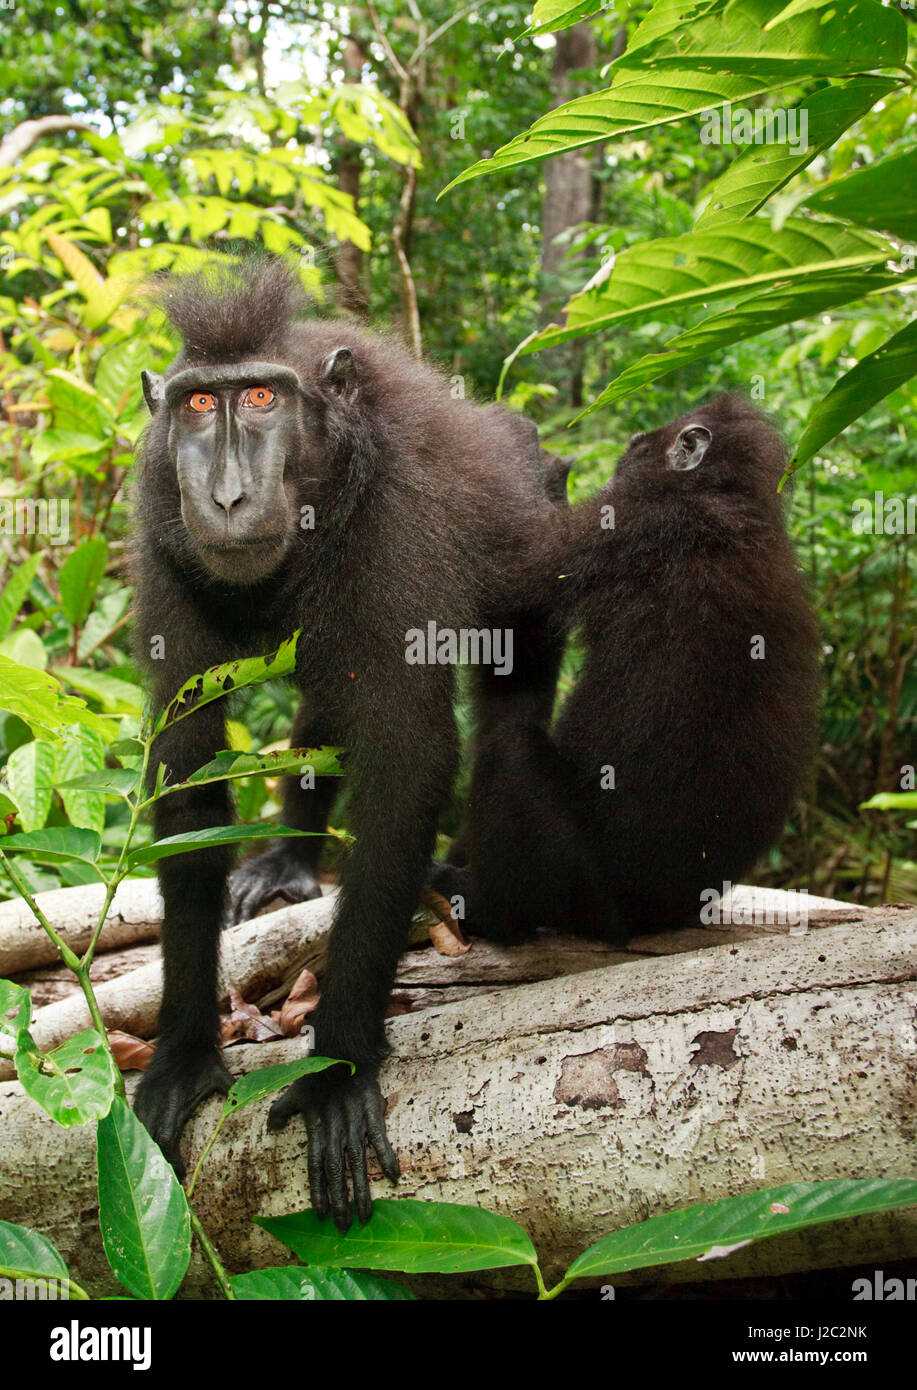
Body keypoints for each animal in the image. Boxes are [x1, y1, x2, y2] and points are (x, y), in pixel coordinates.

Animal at [130, 257, 567, 1230]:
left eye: (260, 397)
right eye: (197, 405)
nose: (224, 495)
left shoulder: (401, 524)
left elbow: (406, 762)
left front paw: (337, 1070)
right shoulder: (160, 538)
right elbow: (188, 774)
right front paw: (184, 1052)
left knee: (508, 713)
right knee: (326, 706)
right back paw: (288, 863)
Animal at [429, 394, 820, 944]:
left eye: (634, 448)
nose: (611, 473)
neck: (724, 496)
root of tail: (652, 916)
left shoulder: (629, 522)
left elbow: (505, 596)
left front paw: (523, 445)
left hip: (582, 893)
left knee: (512, 747)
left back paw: (491, 907)